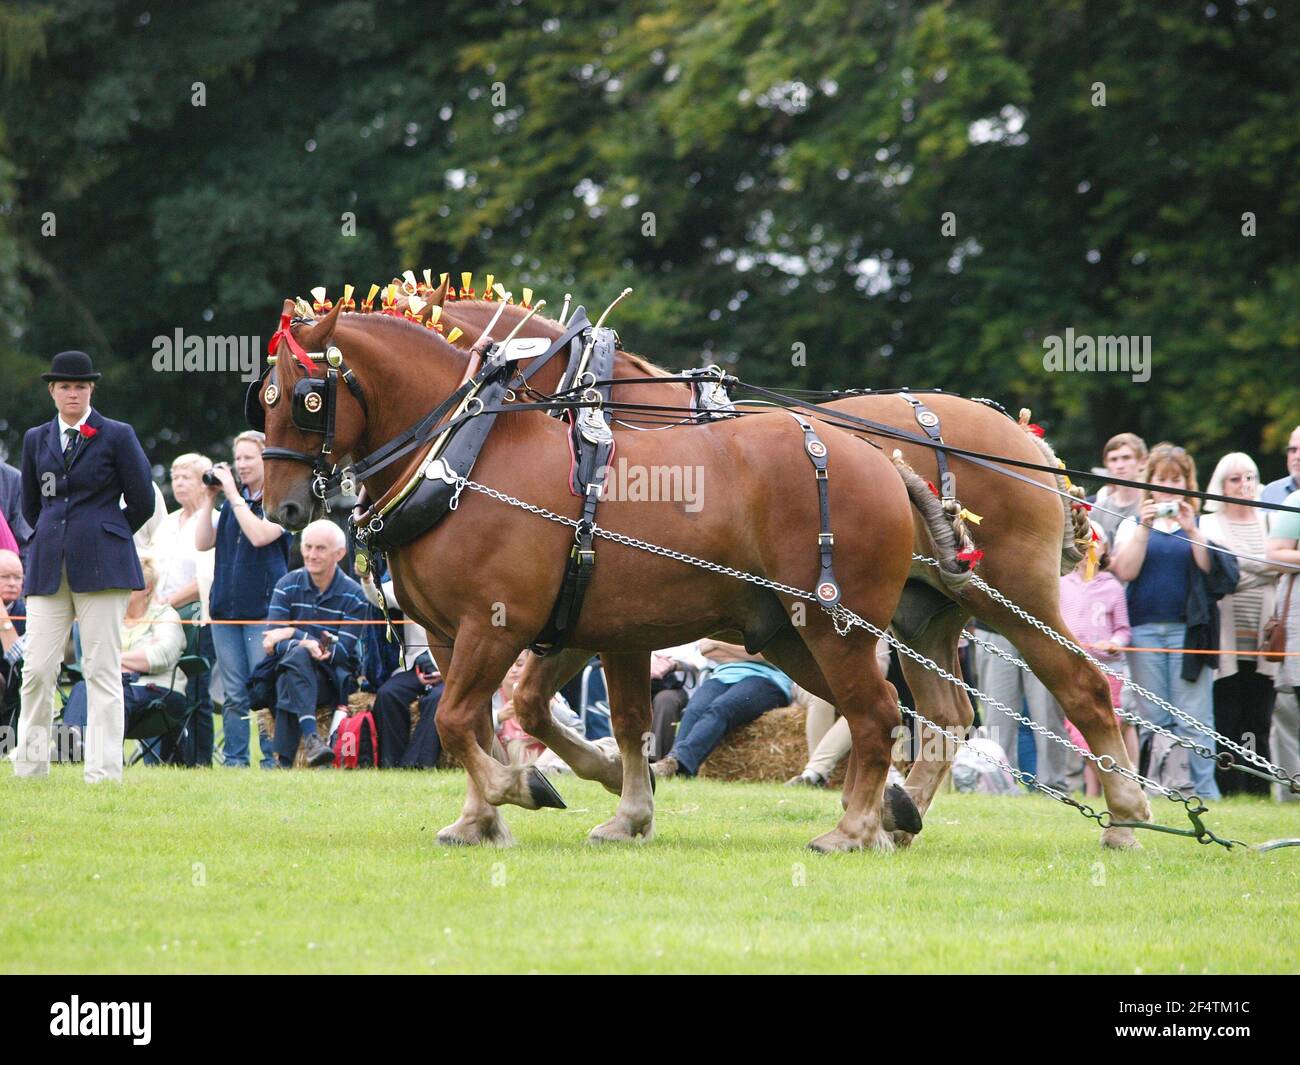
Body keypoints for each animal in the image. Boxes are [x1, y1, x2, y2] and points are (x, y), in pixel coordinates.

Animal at [253, 298, 922, 852]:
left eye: (306, 399)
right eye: (262, 397)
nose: (279, 506)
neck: (463, 460)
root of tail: (881, 460)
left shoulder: (498, 625)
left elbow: (455, 720)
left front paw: (522, 787)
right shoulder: (474, 633)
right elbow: (497, 721)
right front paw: (484, 820)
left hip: (834, 627)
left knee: (873, 714)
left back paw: (854, 830)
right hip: (786, 631)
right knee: (882, 711)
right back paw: (884, 816)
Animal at [413, 288, 1153, 847]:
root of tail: (1025, 440)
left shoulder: (597, 607)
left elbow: (584, 709)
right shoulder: (587, 609)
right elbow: (538, 704)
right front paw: (584, 789)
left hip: (1009, 597)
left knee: (1082, 687)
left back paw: (1123, 814)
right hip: (923, 615)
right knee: (945, 714)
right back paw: (900, 813)